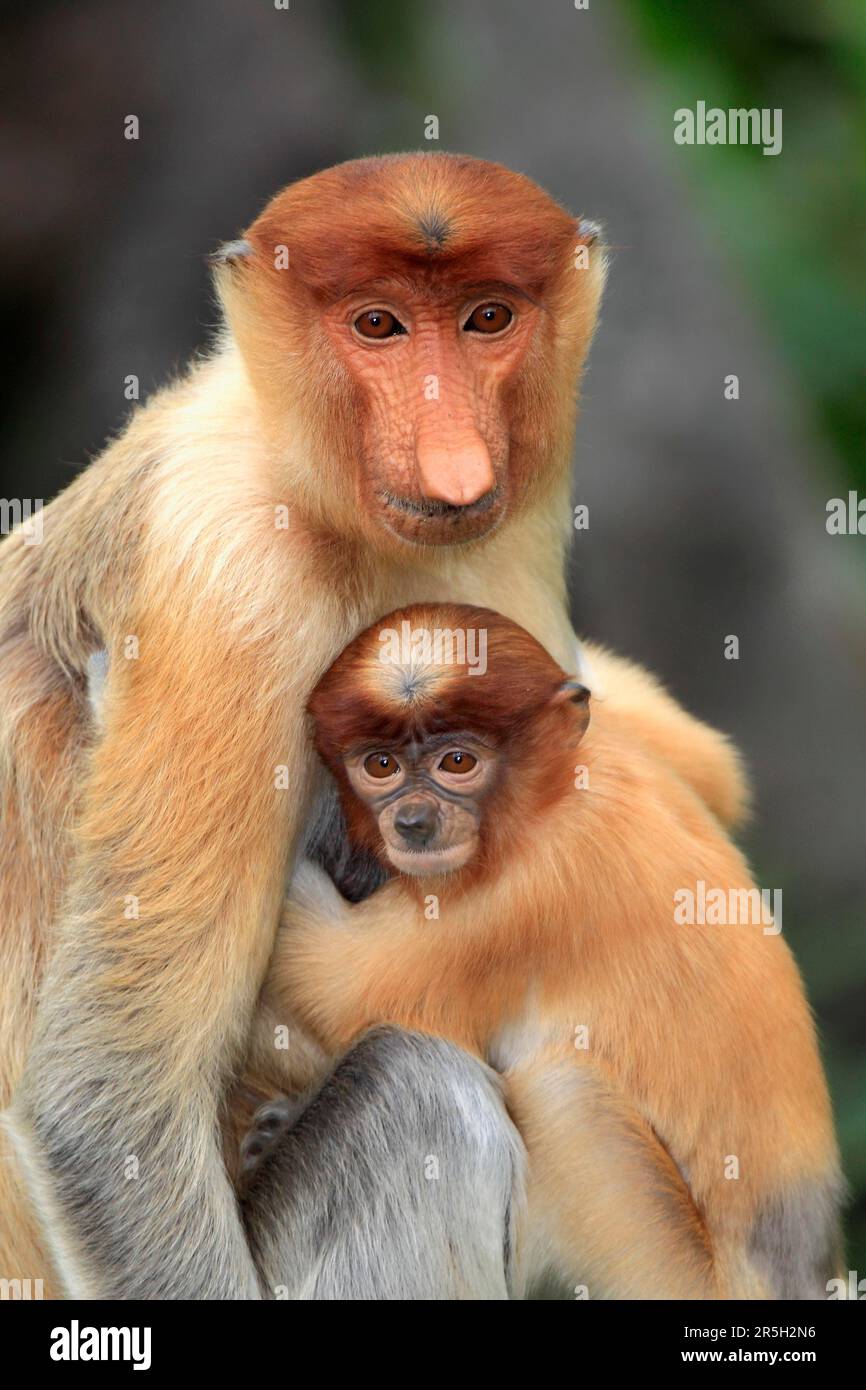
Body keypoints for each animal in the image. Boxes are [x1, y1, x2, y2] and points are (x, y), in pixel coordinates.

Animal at [0, 152, 619, 1299]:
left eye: (488, 317)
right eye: (377, 324)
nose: (456, 463)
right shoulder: (231, 577)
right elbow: (105, 1098)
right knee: (423, 1096)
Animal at [250, 601, 843, 1301]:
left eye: (457, 762)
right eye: (381, 766)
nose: (414, 823)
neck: (559, 790)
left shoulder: (525, 893)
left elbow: (343, 987)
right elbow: (712, 770)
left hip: (666, 1272)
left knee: (560, 1091)